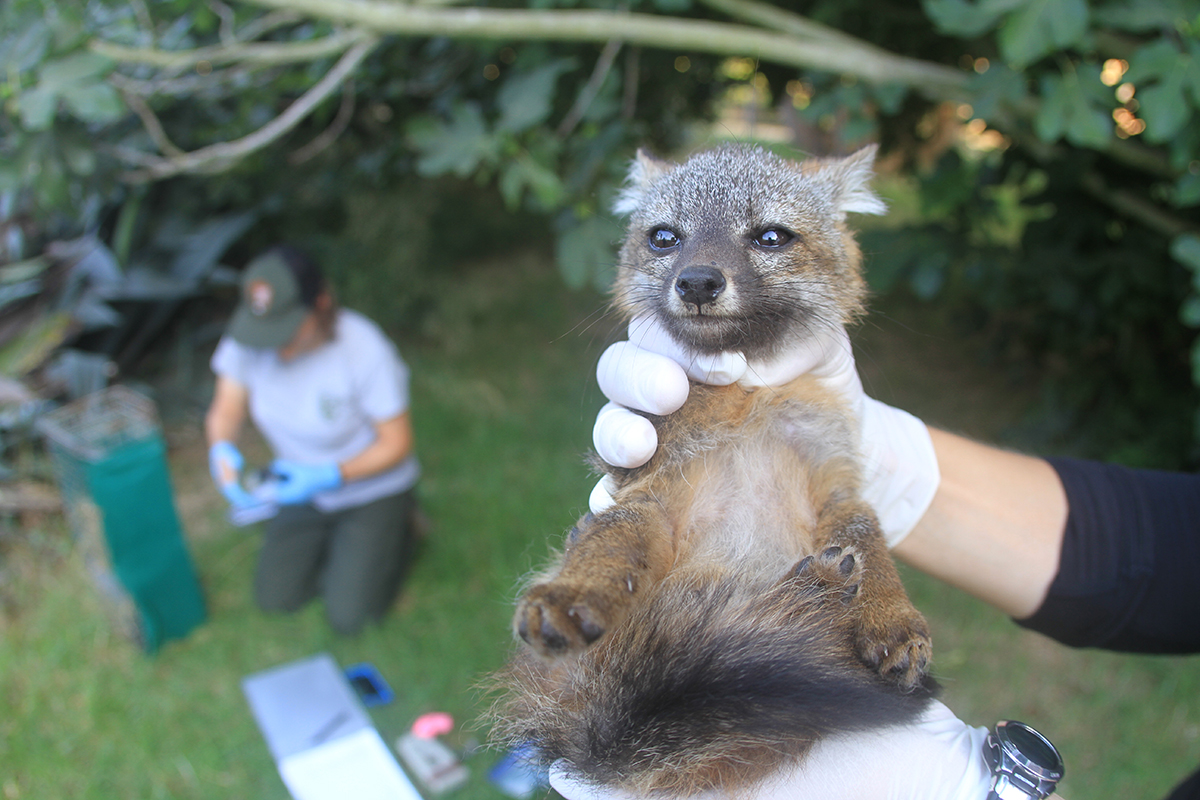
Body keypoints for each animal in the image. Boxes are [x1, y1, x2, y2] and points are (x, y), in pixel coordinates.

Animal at [489, 144, 937, 797]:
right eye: (665, 237)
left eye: (771, 236)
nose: (698, 280)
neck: (748, 404)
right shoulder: (650, 489)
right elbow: (607, 548)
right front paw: (571, 593)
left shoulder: (838, 485)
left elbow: (870, 543)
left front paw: (891, 617)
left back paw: (819, 589)